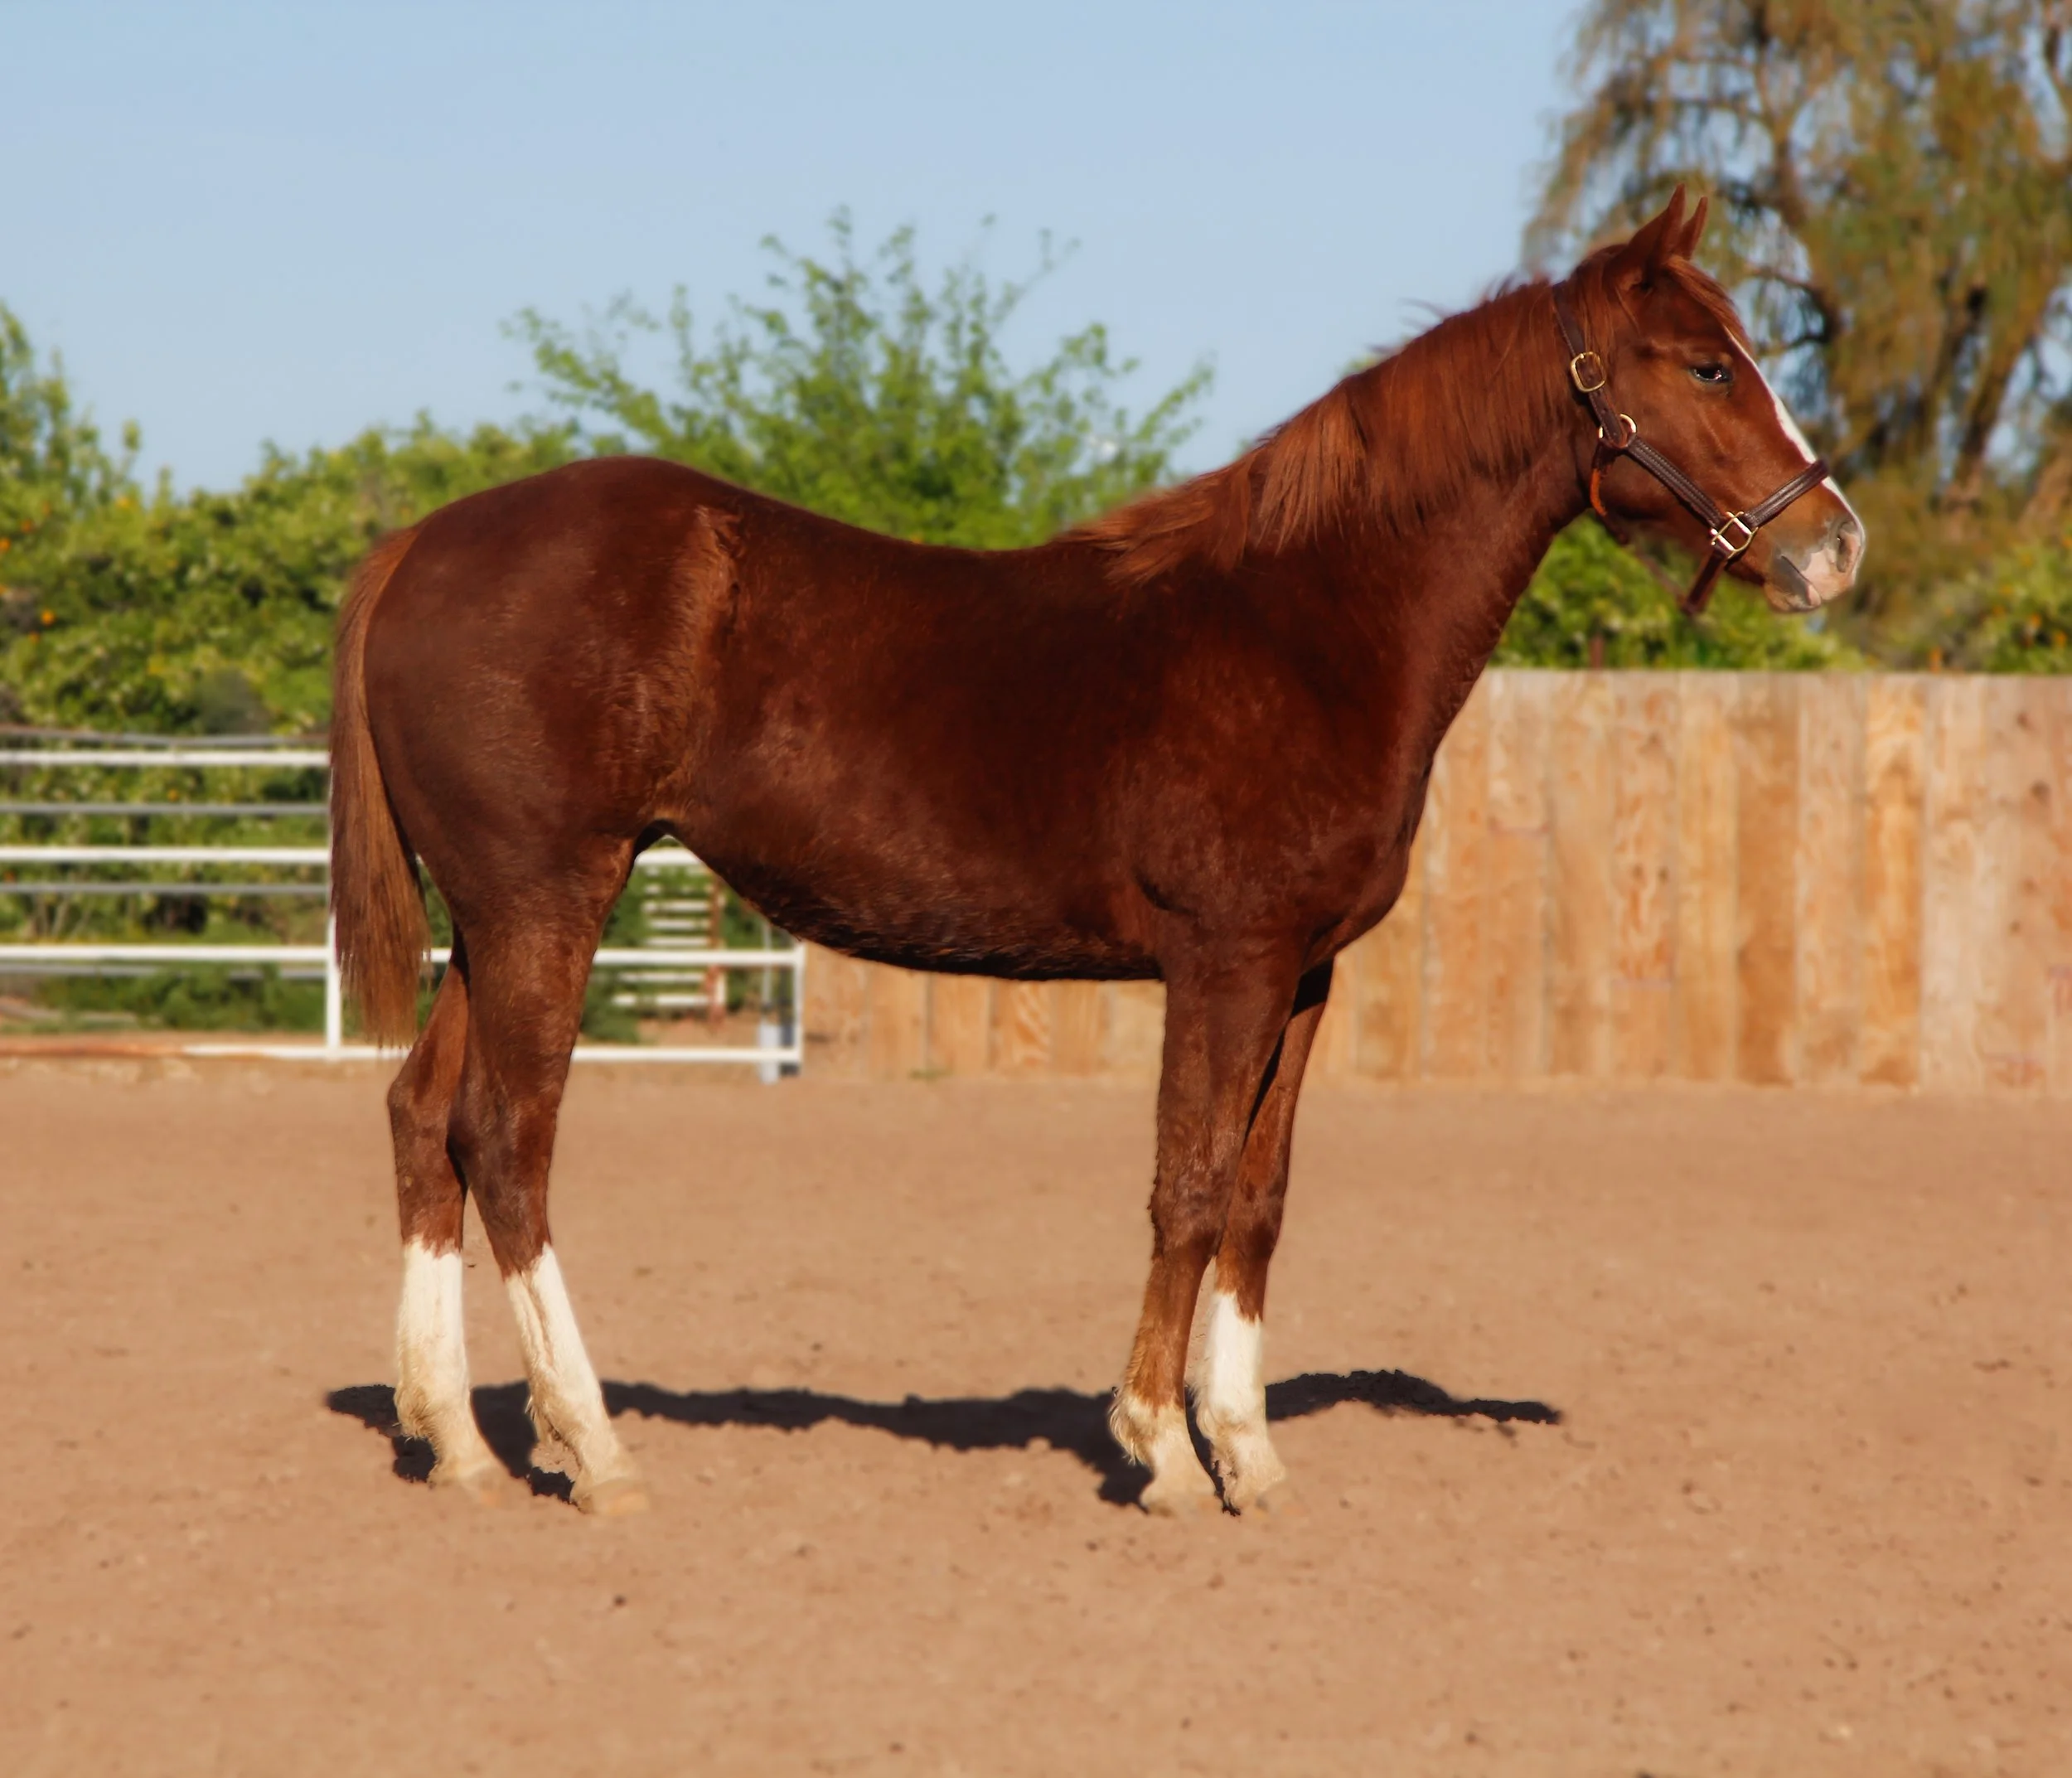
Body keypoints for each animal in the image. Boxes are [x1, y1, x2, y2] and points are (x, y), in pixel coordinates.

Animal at [331, 189, 1863, 1517]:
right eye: (1709, 365)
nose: (1832, 546)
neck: (1306, 624)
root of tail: (420, 544)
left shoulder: (1303, 976)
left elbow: (1256, 1200)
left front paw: (1249, 1453)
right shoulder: (1226, 962)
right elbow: (1186, 1188)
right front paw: (1163, 1452)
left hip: (493, 921)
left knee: (423, 1121)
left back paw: (457, 1442)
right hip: (549, 902)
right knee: (508, 1143)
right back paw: (592, 1450)